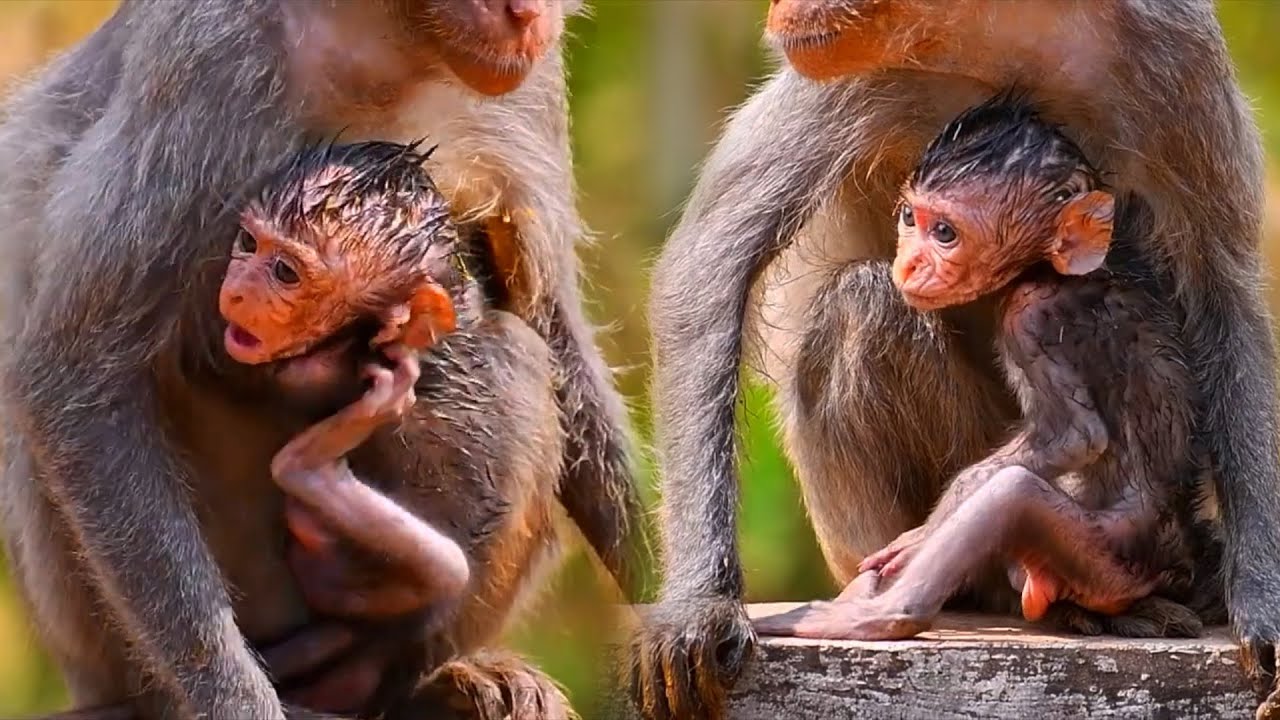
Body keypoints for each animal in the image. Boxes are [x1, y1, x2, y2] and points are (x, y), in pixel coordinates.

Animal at [0, 2, 640, 719]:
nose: (528, 14)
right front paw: (238, 706)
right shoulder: (204, 57)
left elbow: (546, 317)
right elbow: (74, 369)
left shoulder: (534, 84)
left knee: (516, 351)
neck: (396, 43)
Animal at [752, 93, 1225, 643]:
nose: (909, 263)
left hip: (1109, 553)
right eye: (909, 218)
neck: (1047, 268)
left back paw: (880, 613)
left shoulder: (1030, 315)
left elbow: (1073, 437)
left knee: (1011, 495)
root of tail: (1179, 559)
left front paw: (920, 538)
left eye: (944, 232)